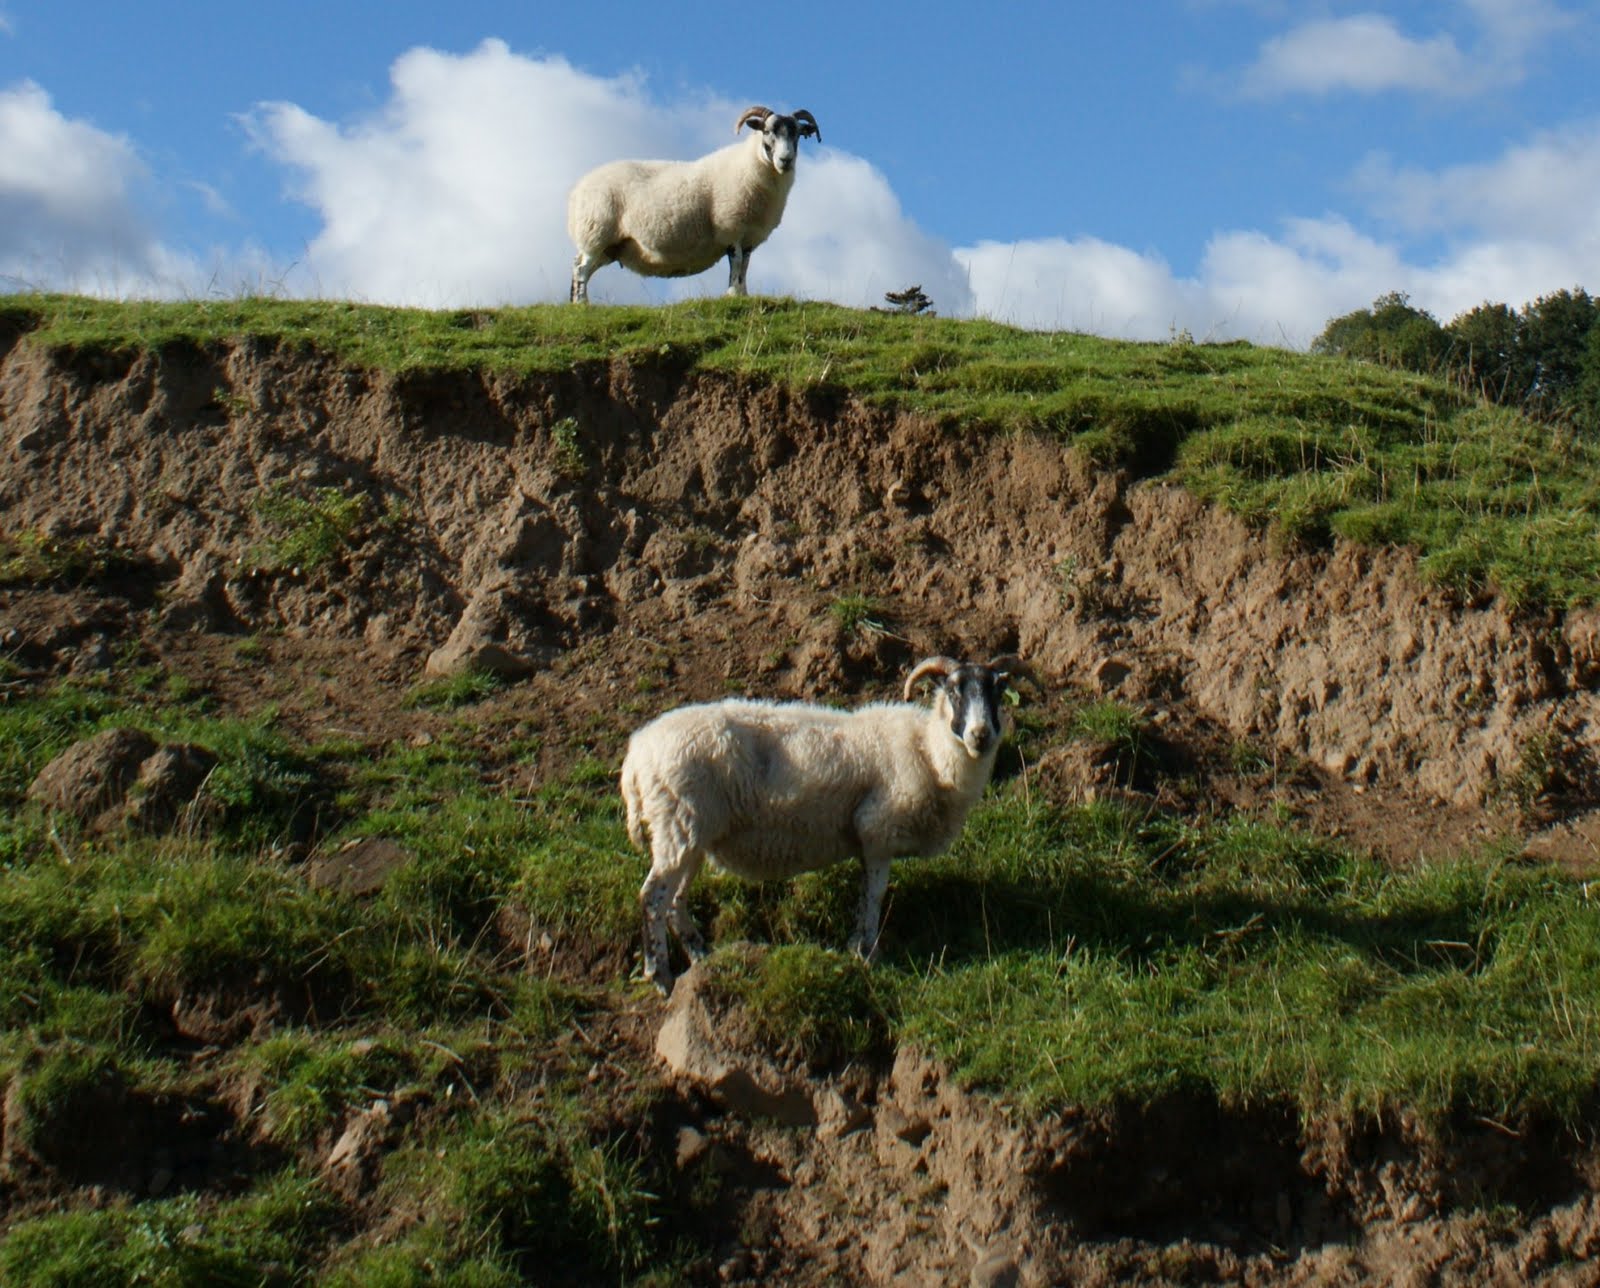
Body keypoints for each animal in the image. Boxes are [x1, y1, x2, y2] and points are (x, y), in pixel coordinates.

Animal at [567, 105, 821, 304]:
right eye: (767, 131)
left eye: (798, 134)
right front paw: (732, 294)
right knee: (581, 269)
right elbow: (736, 263)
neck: (751, 164)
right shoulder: (730, 228)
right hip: (596, 232)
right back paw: (582, 304)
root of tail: (577, 190)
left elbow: (745, 267)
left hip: (610, 245)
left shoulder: (750, 236)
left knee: (581, 267)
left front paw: (744, 295)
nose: (785, 160)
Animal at [620, 656, 1019, 995]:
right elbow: (875, 894)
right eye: (953, 690)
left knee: (674, 900)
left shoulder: (868, 839)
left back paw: (700, 955)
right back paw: (660, 975)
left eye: (997, 692)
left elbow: (865, 893)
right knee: (652, 897)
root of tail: (636, 754)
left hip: (692, 834)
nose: (981, 735)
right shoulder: (878, 830)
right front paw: (868, 952)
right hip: (677, 826)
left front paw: (857, 944)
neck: (930, 753)